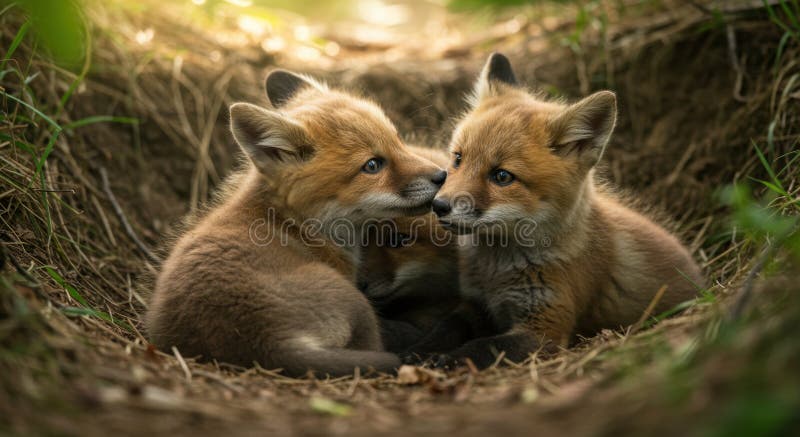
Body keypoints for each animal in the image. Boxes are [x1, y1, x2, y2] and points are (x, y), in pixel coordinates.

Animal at [145, 69, 447, 377]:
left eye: (397, 140)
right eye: (373, 165)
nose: (442, 176)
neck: (294, 222)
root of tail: (266, 341)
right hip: (358, 305)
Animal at [408, 53, 704, 369]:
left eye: (502, 176)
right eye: (458, 158)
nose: (438, 206)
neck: (496, 273)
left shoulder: (546, 329)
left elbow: (483, 346)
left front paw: (445, 359)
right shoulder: (476, 304)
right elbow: (447, 327)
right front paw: (417, 351)